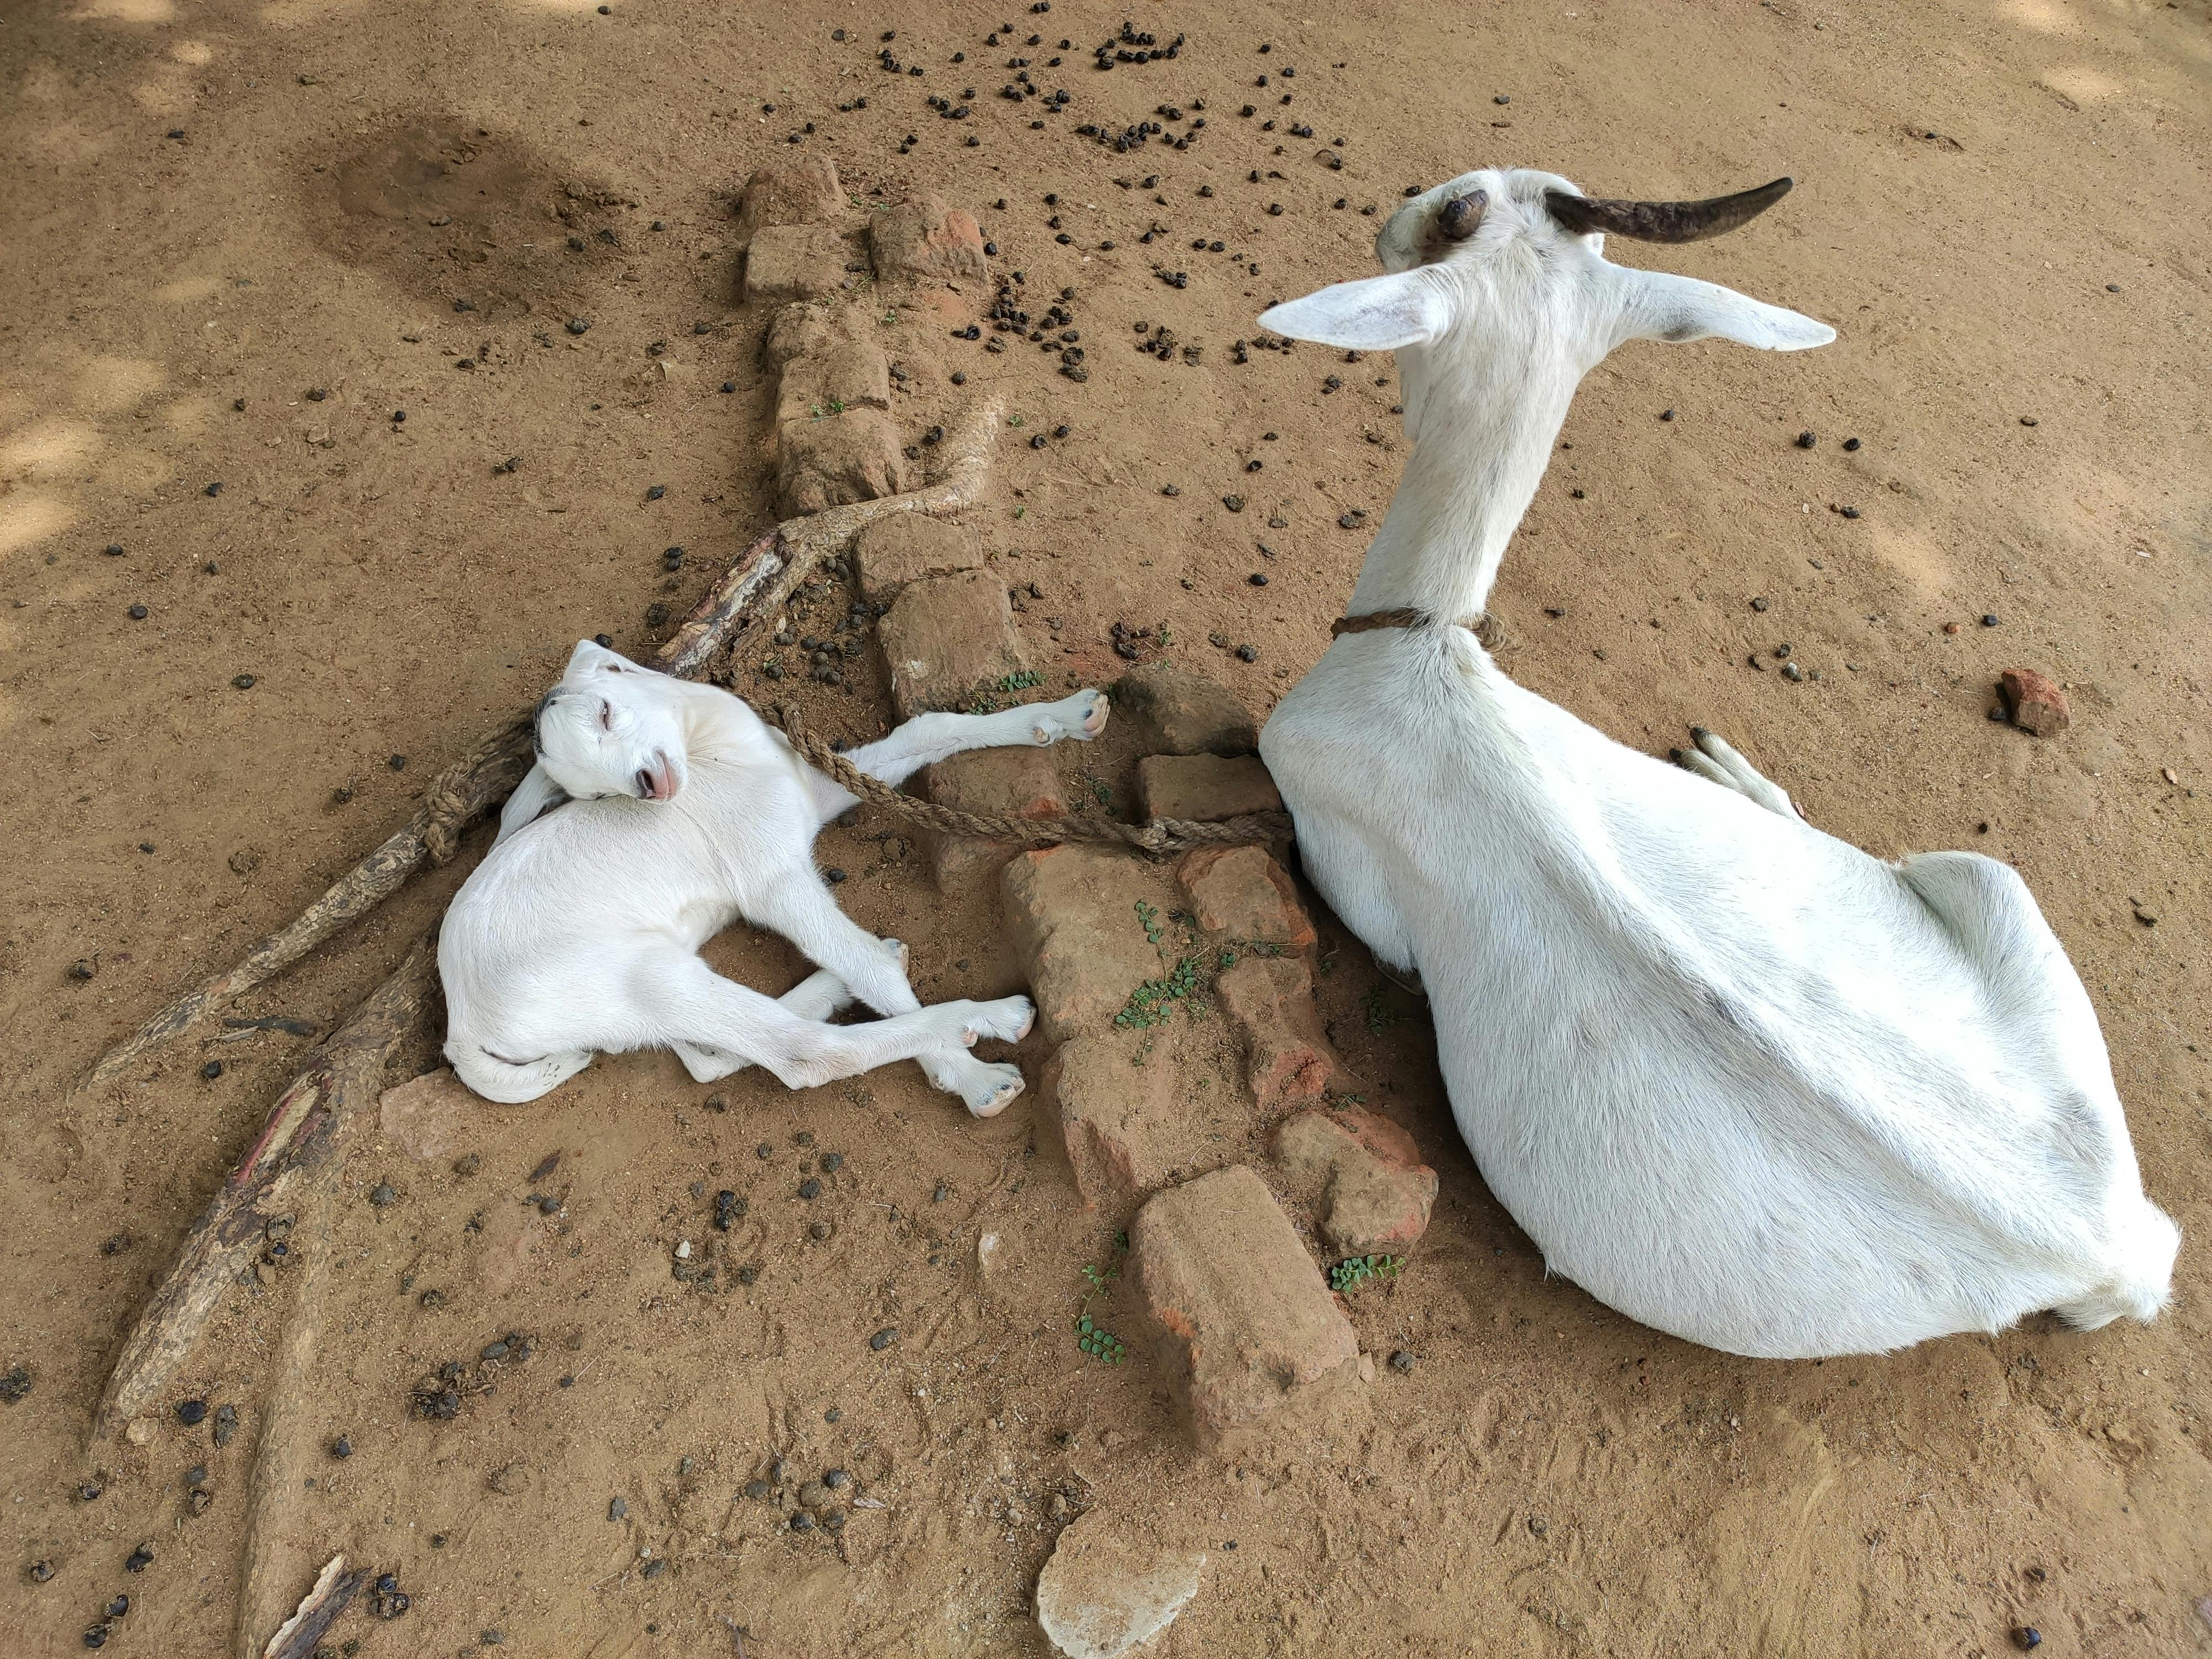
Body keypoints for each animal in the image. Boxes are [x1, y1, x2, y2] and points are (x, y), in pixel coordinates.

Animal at [438, 639, 1109, 1115]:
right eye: (596, 795)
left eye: (605, 711)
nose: (649, 788)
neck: (712, 755)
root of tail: (460, 1025)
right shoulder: (774, 882)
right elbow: (868, 965)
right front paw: (970, 1079)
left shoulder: (812, 791)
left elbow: (930, 729)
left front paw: (1065, 715)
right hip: (643, 979)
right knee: (803, 1055)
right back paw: (973, 1018)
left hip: (632, 1000)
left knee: (707, 1056)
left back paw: (829, 992)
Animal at [1253, 170, 2178, 1357]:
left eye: (1455, 208)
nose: (1400, 203)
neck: (1423, 655)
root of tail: (2121, 1247)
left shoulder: (1338, 854)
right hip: (1993, 885)